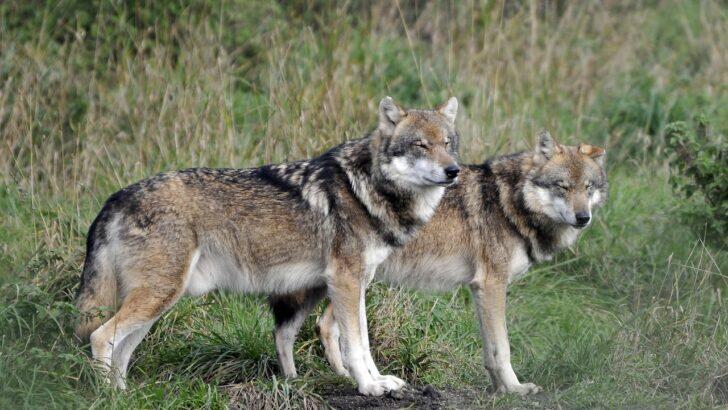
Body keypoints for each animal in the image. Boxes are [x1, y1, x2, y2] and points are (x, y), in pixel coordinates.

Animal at [74, 96, 461, 396]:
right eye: (420, 145)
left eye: (446, 143)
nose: (454, 171)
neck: (365, 188)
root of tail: (116, 197)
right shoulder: (346, 282)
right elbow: (355, 345)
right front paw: (369, 387)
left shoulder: (357, 283)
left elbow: (362, 342)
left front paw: (380, 381)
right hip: (158, 296)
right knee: (100, 337)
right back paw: (110, 396)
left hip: (158, 302)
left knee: (122, 350)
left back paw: (125, 394)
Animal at [269, 131, 607, 395]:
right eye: (562, 187)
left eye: (588, 187)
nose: (583, 218)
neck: (507, 203)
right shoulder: (492, 285)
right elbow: (503, 348)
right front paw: (515, 389)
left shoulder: (480, 290)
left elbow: (490, 350)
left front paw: (499, 390)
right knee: (319, 327)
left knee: (322, 326)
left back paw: (337, 377)